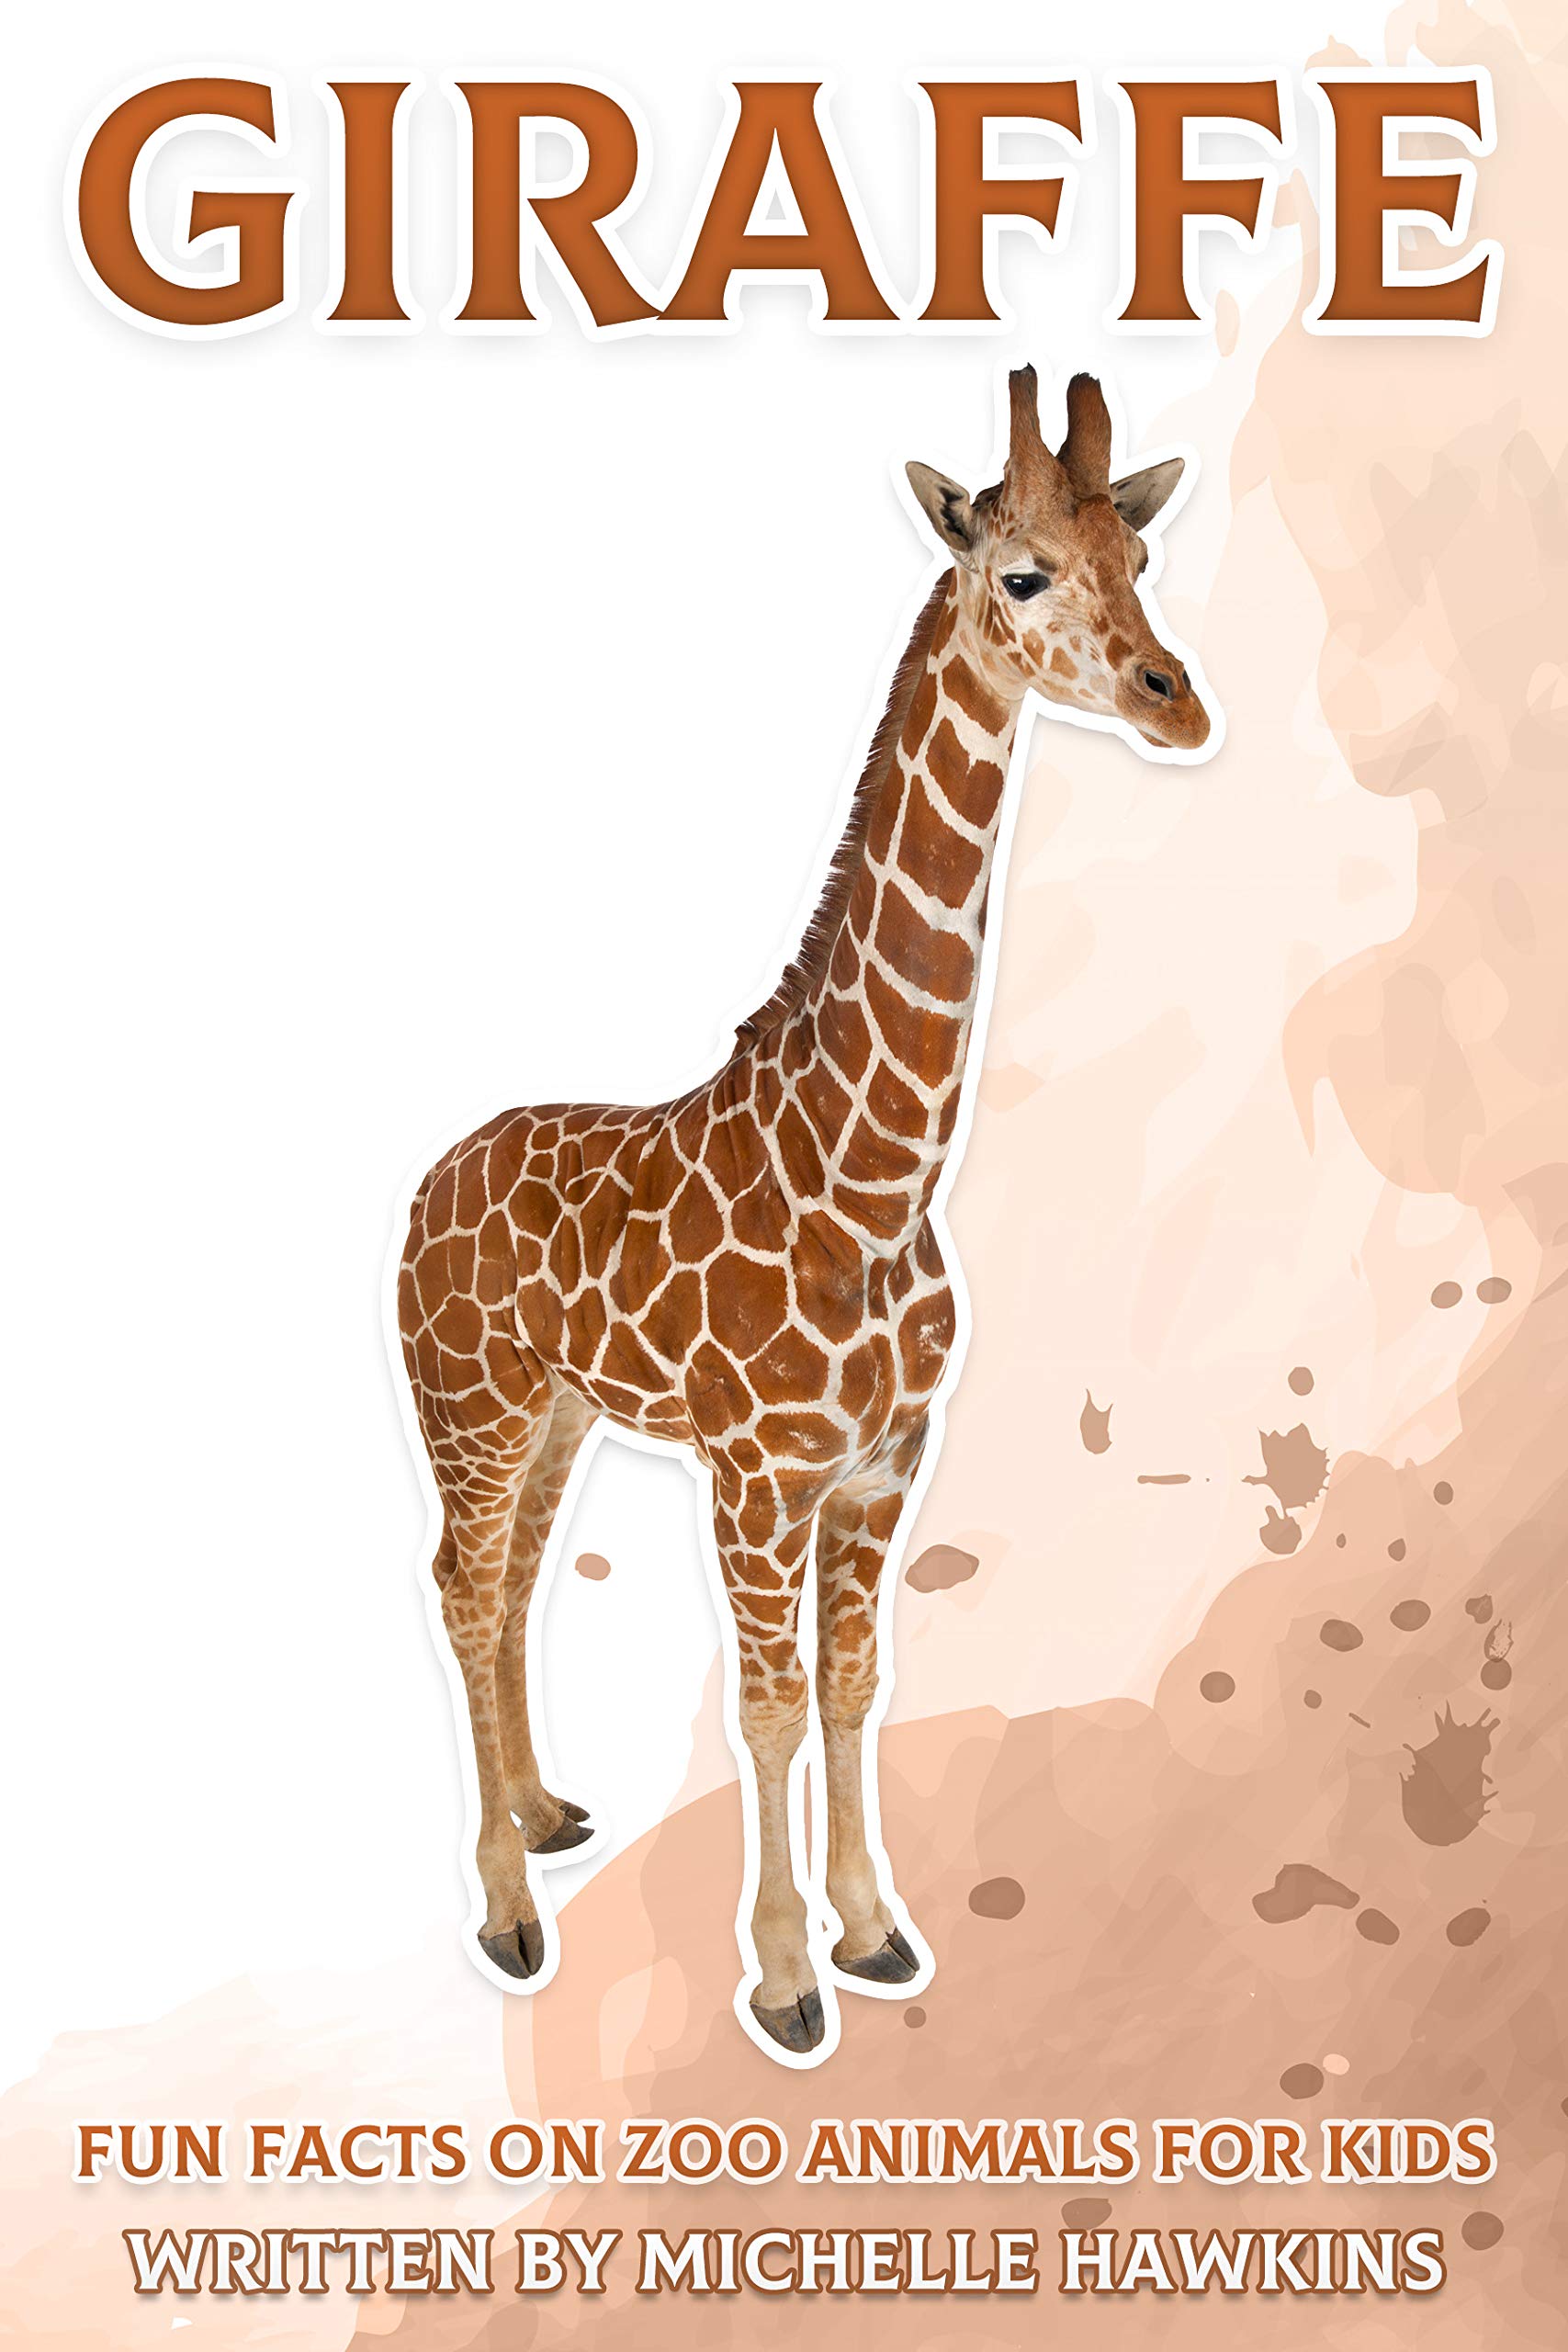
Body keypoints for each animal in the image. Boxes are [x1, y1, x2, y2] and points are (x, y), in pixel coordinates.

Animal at [398, 365, 1210, 2059]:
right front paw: (781, 1978)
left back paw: (548, 1817)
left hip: (553, 1414)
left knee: (505, 1590)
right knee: (458, 1582)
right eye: (1019, 573)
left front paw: (876, 1931)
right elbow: (765, 1704)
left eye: (1140, 557)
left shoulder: (881, 1470)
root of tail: (430, 1177)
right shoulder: (758, 1478)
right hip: (471, 1406)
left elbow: (849, 1690)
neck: (880, 1176)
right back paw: (505, 1910)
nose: (1176, 699)